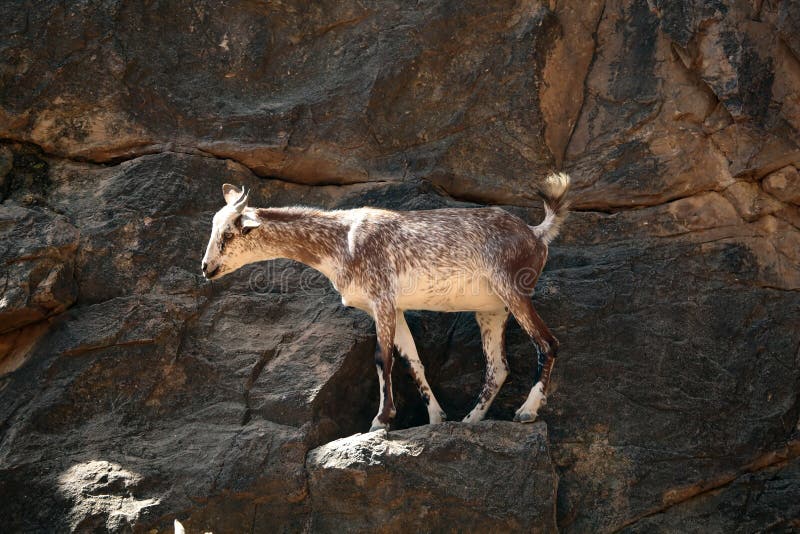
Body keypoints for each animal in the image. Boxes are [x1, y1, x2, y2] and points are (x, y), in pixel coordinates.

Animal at [201, 174, 570, 431]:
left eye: (229, 234)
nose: (206, 267)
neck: (341, 242)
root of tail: (537, 234)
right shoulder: (396, 307)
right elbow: (413, 360)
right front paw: (436, 418)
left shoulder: (382, 300)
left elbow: (382, 357)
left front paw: (380, 421)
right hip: (490, 310)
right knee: (498, 367)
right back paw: (469, 420)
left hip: (513, 290)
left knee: (547, 343)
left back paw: (526, 412)